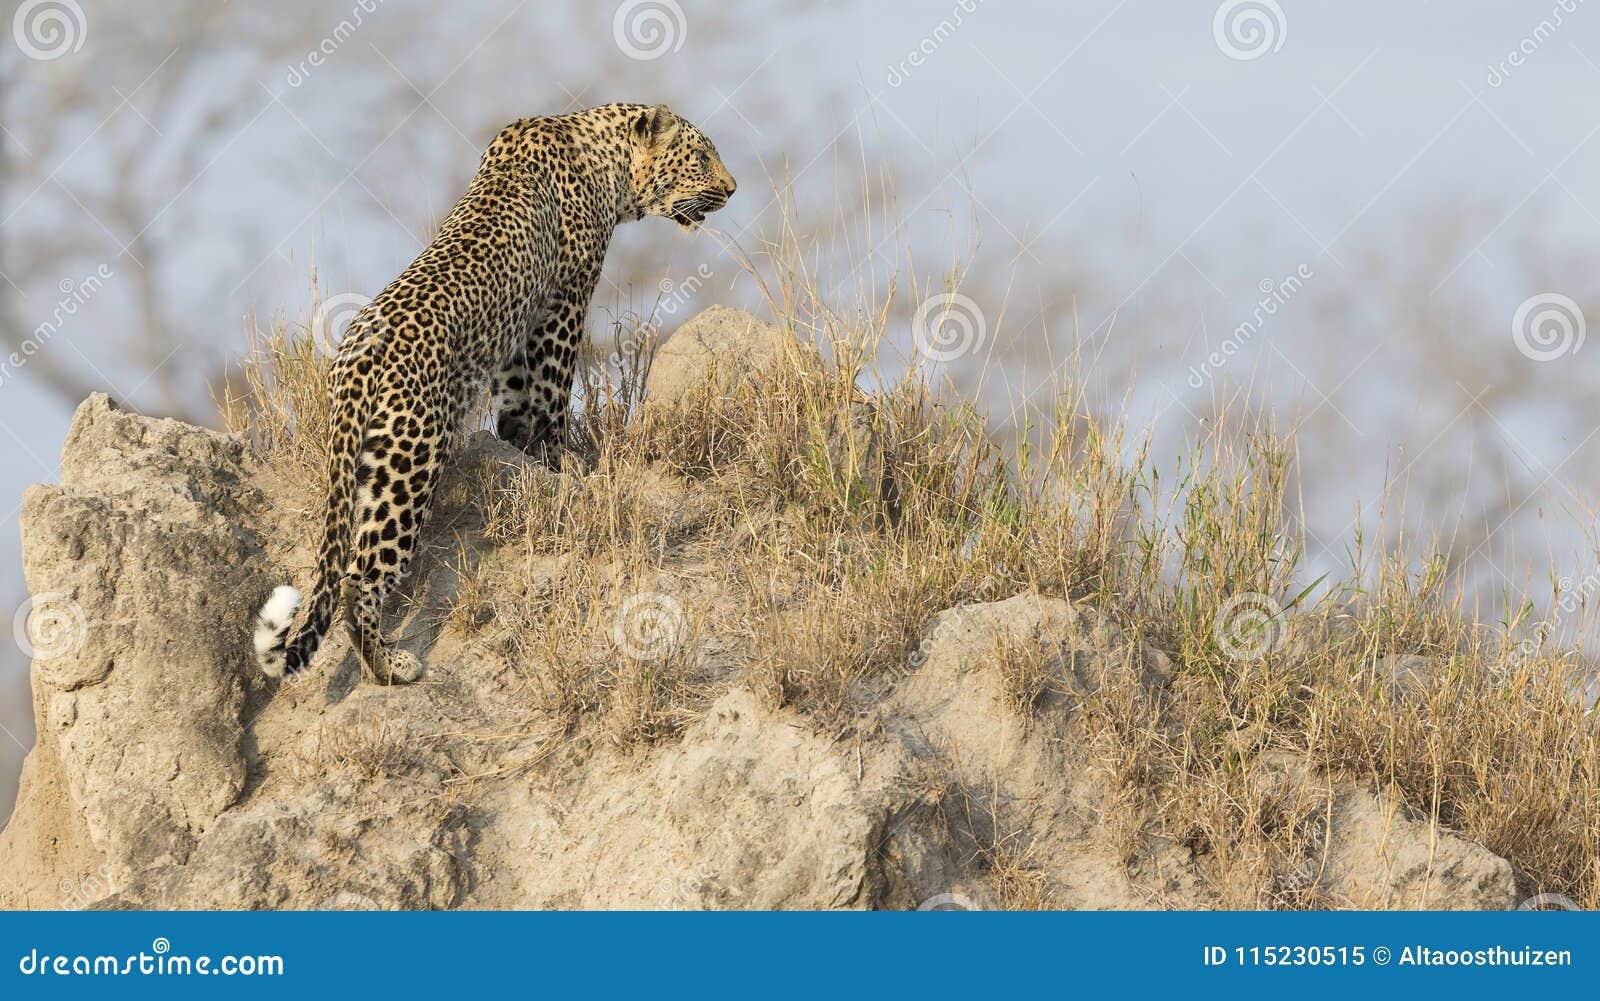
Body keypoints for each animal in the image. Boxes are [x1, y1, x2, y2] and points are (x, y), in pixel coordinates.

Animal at [252, 102, 736, 685]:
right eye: (702, 156)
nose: (732, 189)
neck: (606, 160)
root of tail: (353, 362)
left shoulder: (513, 333)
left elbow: (514, 401)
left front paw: (520, 449)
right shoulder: (563, 302)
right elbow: (552, 393)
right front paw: (562, 462)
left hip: (372, 466)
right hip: (409, 464)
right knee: (360, 575)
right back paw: (391, 666)